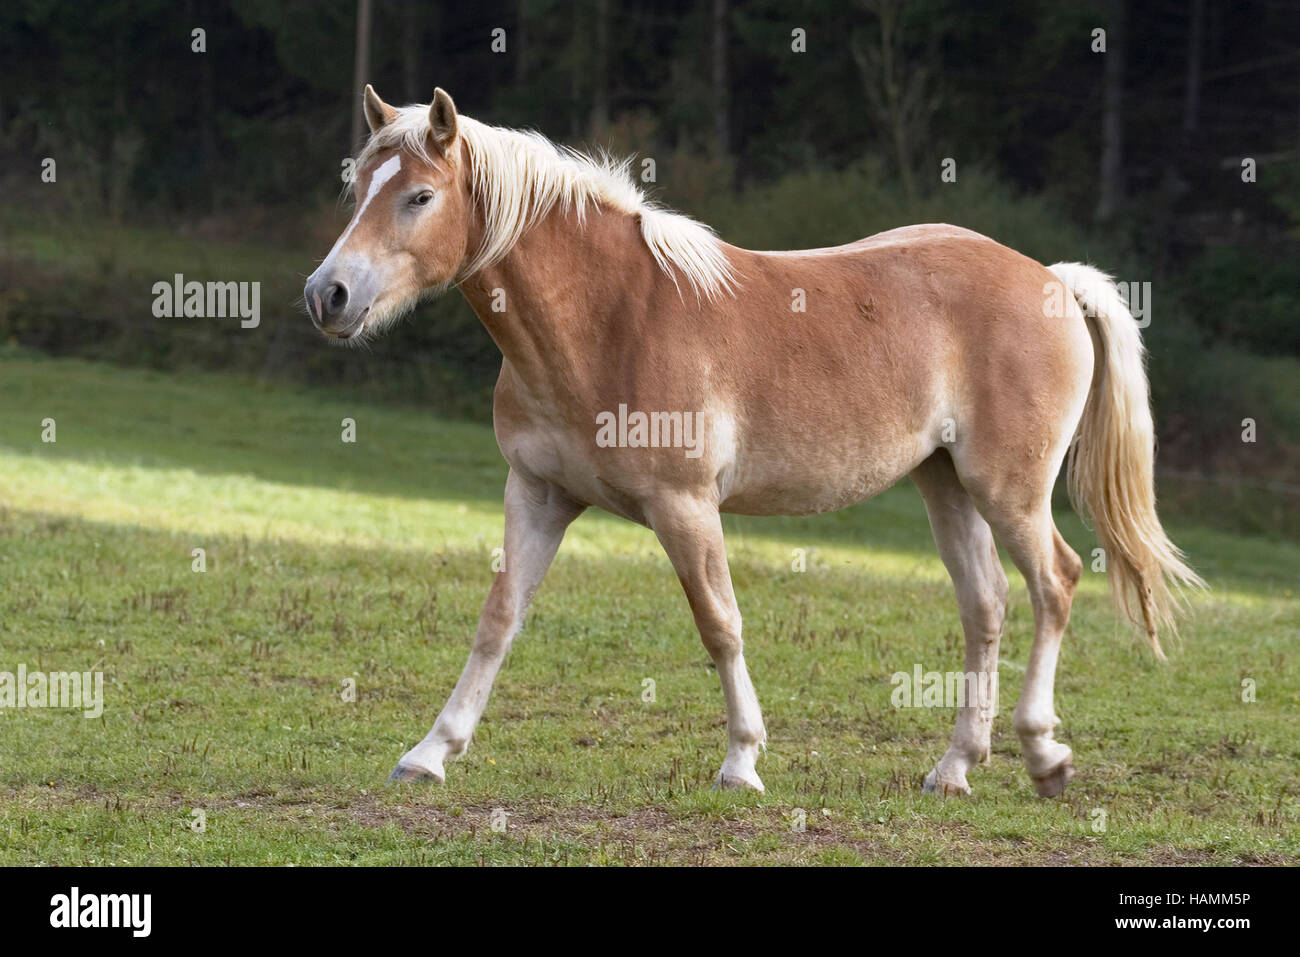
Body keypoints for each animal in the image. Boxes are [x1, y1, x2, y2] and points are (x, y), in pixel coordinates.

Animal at [304, 86, 1203, 798]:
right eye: (358, 185)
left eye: (419, 196)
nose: (328, 294)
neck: (609, 317)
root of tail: (1054, 280)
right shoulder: (538, 493)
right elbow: (498, 618)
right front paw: (430, 751)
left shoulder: (685, 506)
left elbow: (720, 622)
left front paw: (741, 761)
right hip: (945, 484)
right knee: (986, 606)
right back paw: (954, 768)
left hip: (1007, 490)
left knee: (1056, 581)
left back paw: (1044, 754)